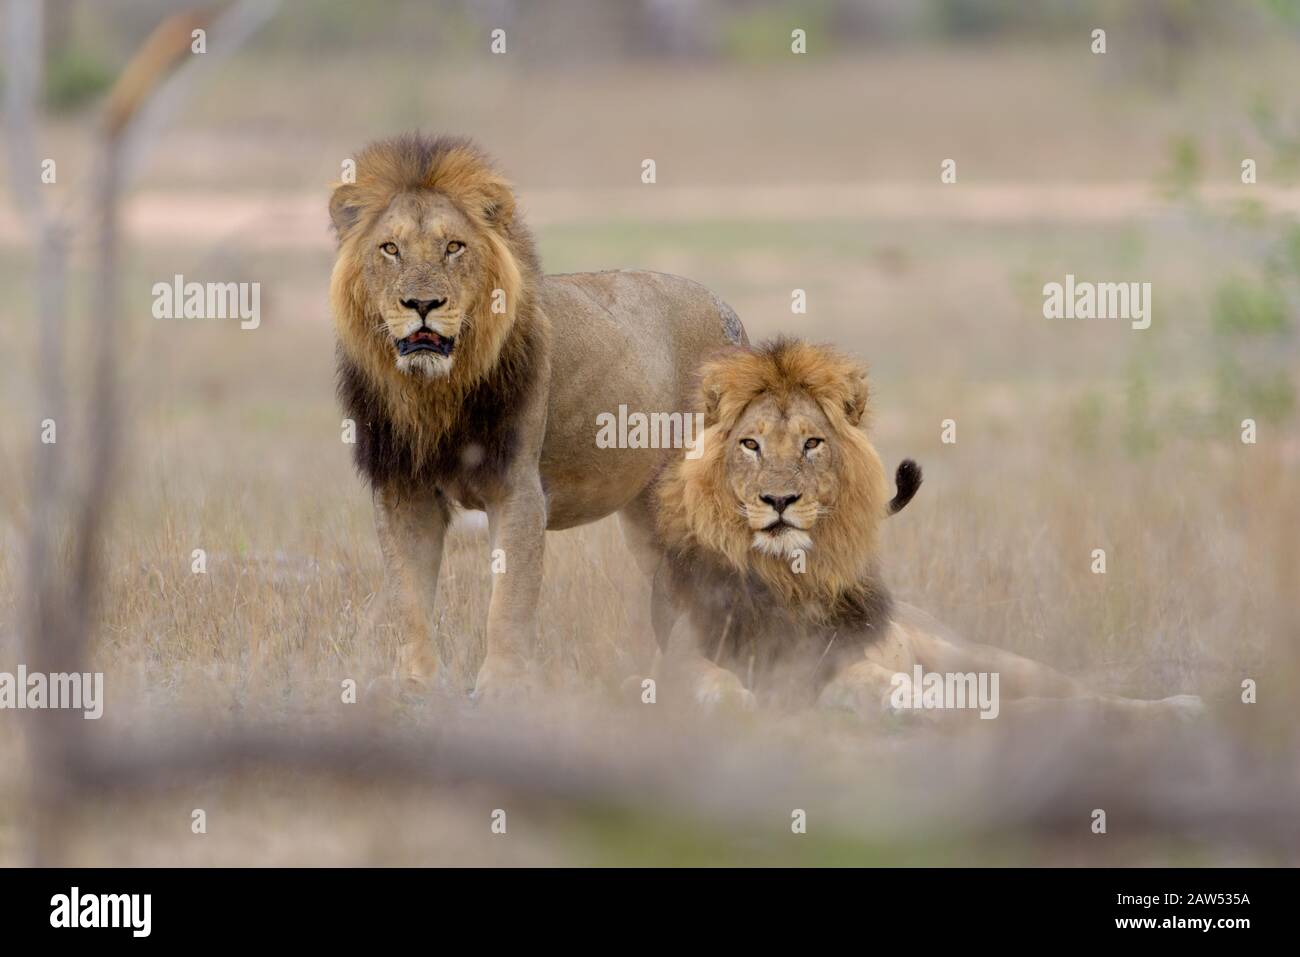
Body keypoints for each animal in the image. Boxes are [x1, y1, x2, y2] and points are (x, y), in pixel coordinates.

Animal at [329, 134, 746, 695]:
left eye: (453, 246)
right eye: (389, 249)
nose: (422, 304)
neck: (433, 392)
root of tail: (726, 309)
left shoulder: (518, 487)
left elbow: (510, 598)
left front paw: (502, 685)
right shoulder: (402, 491)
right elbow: (408, 595)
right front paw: (415, 681)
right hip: (646, 510)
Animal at [649, 338, 1203, 722]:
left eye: (812, 443)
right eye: (750, 444)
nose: (780, 500)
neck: (786, 580)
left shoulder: (851, 660)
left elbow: (868, 682)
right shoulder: (682, 654)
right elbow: (704, 683)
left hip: (984, 657)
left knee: (1086, 694)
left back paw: (1178, 706)